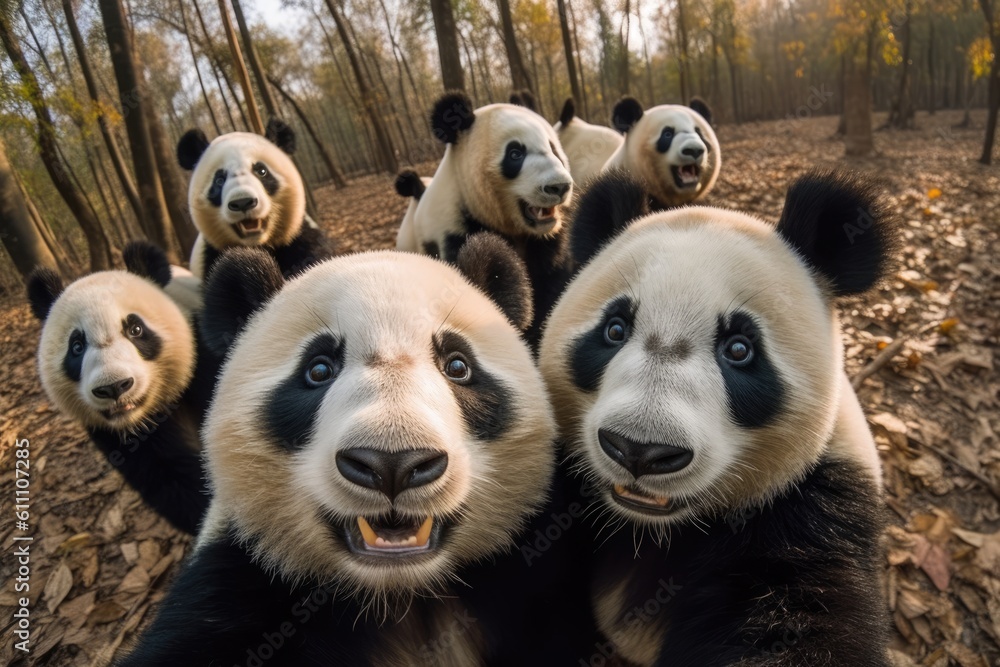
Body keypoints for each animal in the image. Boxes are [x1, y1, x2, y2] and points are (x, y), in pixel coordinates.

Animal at [27, 242, 220, 535]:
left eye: (135, 329)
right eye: (76, 347)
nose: (114, 387)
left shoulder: (202, 360)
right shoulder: (112, 433)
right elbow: (169, 479)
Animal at [117, 236, 599, 665]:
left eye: (458, 366)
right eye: (318, 370)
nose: (393, 463)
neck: (401, 594)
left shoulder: (528, 580)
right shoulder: (243, 588)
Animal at [177, 118, 333, 279]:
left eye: (261, 171)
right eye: (219, 180)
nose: (242, 202)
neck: (257, 245)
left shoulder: (298, 239)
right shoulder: (210, 256)